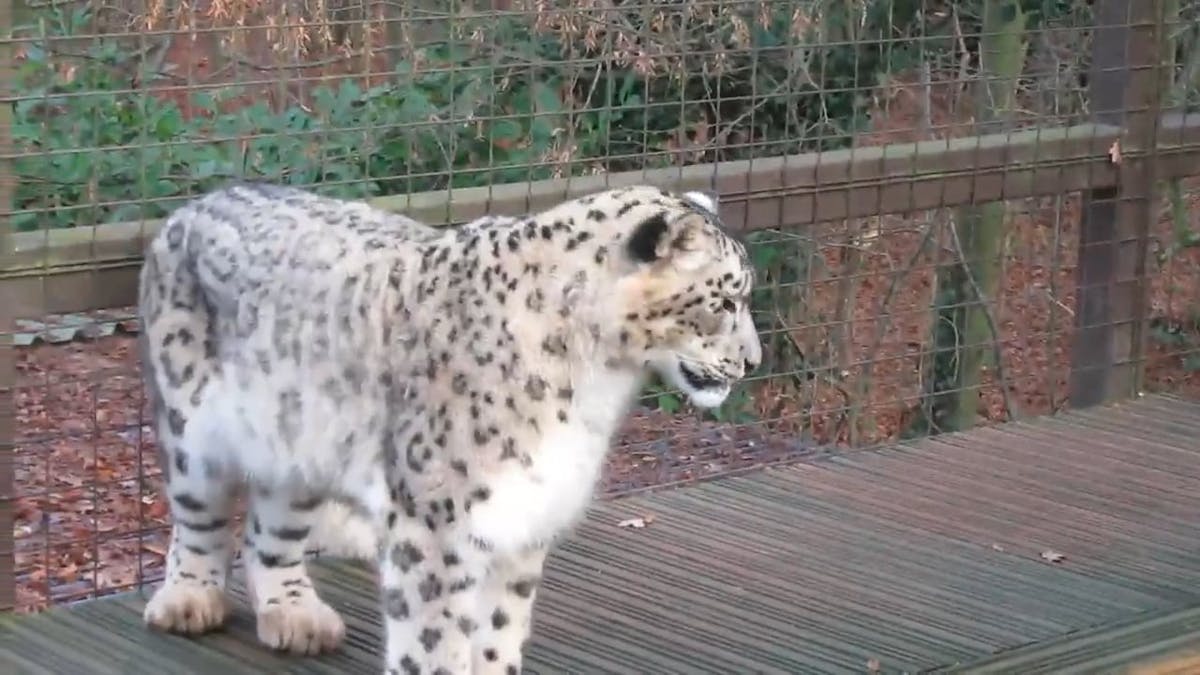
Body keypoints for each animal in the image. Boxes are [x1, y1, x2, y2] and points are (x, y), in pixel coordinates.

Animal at [136, 180, 762, 674]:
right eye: (728, 300)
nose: (754, 361)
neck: (595, 387)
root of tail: (191, 205)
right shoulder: (436, 525)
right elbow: (434, 639)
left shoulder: (523, 514)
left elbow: (500, 628)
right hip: (193, 435)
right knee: (199, 522)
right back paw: (189, 602)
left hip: (297, 444)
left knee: (270, 531)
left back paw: (295, 615)